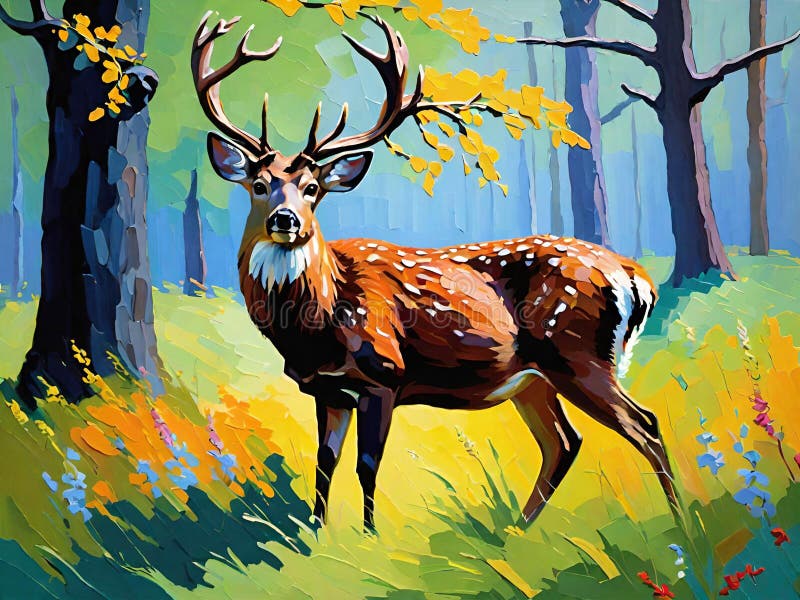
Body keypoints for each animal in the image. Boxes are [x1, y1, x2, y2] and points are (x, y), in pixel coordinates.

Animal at [192, 11, 679, 531]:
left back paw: (682, 523)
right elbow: (325, 463)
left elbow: (367, 465)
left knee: (644, 425)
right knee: (564, 442)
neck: (319, 317)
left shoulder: (383, 374)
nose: (285, 221)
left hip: (580, 354)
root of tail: (636, 278)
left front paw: (369, 535)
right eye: (259, 184)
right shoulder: (329, 389)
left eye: (311, 189)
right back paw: (517, 530)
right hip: (533, 378)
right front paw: (317, 532)